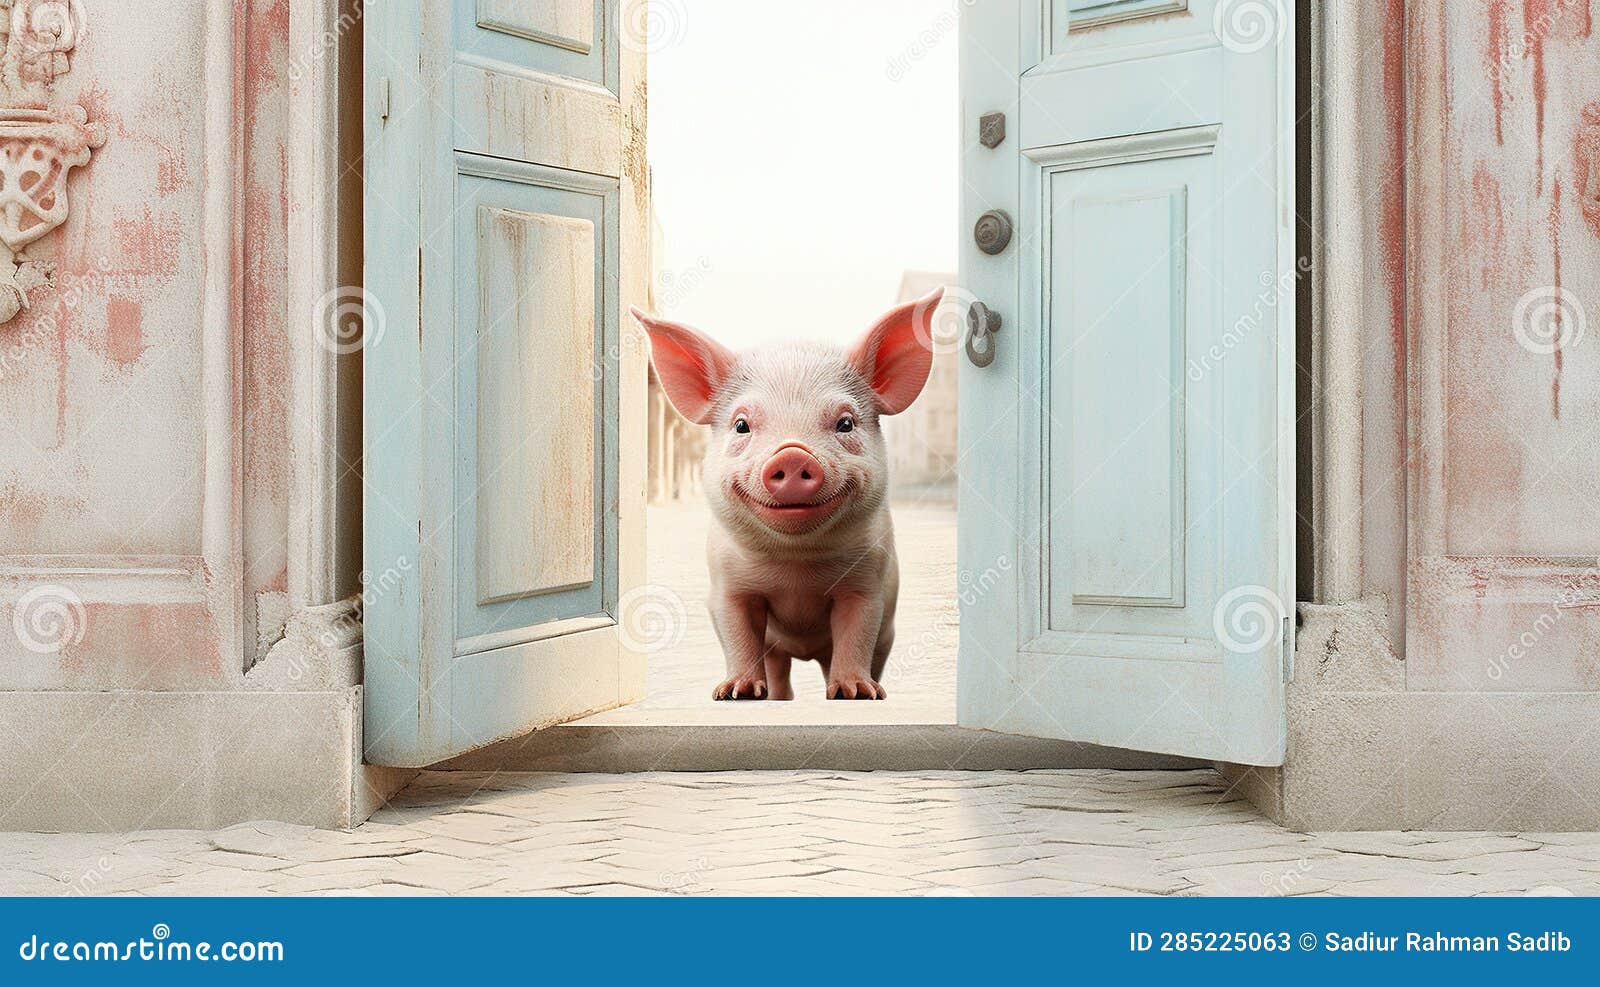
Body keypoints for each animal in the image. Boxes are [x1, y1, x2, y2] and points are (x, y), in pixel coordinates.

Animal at [631, 289, 942, 700]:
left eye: (846, 423)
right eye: (741, 425)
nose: (793, 455)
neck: (796, 568)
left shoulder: (867, 584)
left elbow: (856, 631)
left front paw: (856, 692)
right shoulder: (727, 587)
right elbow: (739, 635)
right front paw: (735, 692)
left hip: (886, 635)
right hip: (776, 646)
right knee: (779, 671)